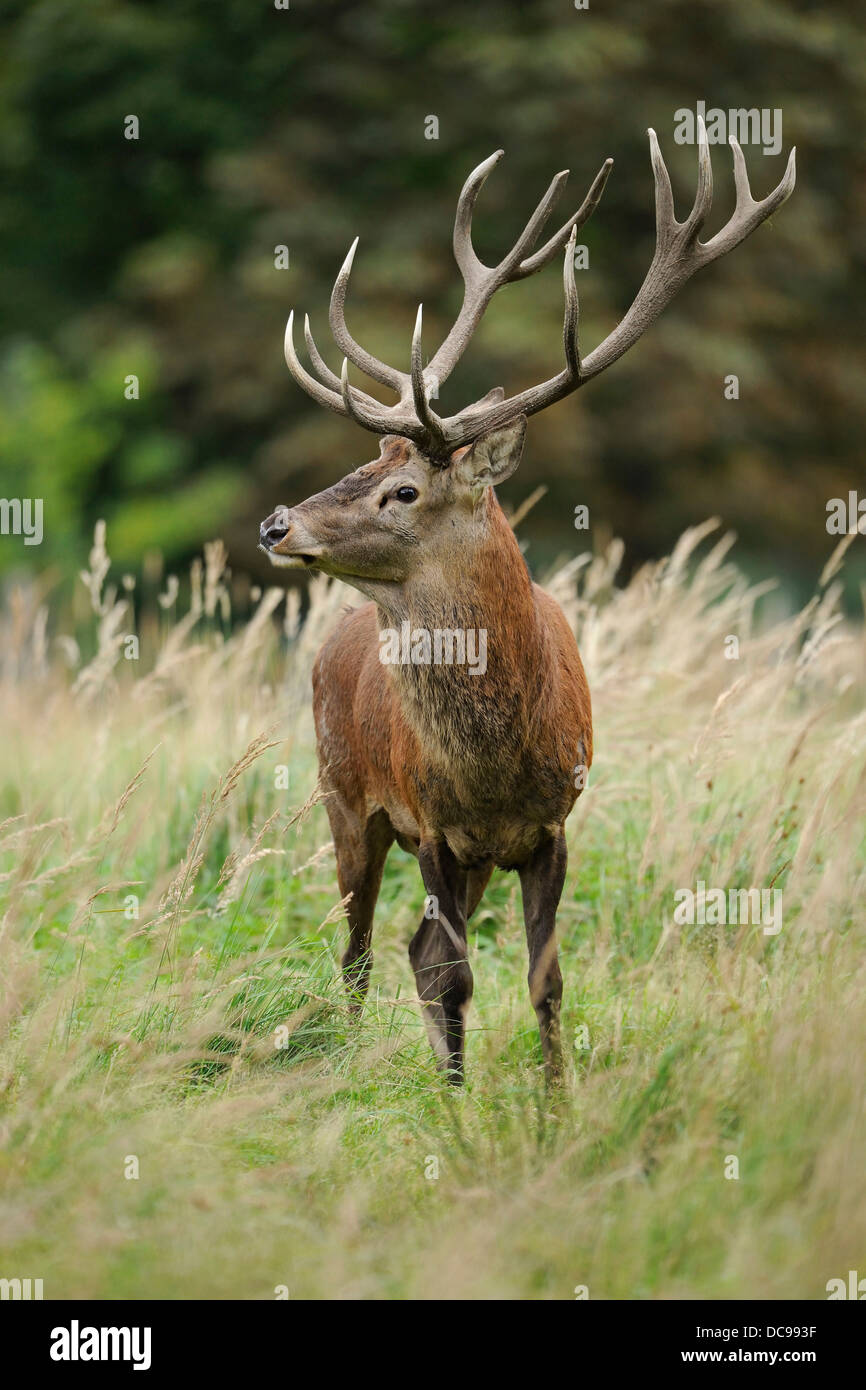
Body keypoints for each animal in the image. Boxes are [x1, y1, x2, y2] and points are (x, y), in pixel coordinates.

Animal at [259, 119, 795, 1084]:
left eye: (402, 491)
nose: (276, 523)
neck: (497, 765)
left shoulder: (553, 825)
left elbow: (543, 978)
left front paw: (554, 1100)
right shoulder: (433, 824)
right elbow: (454, 971)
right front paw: (459, 1104)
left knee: (398, 946)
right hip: (341, 793)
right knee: (361, 948)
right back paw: (358, 1057)